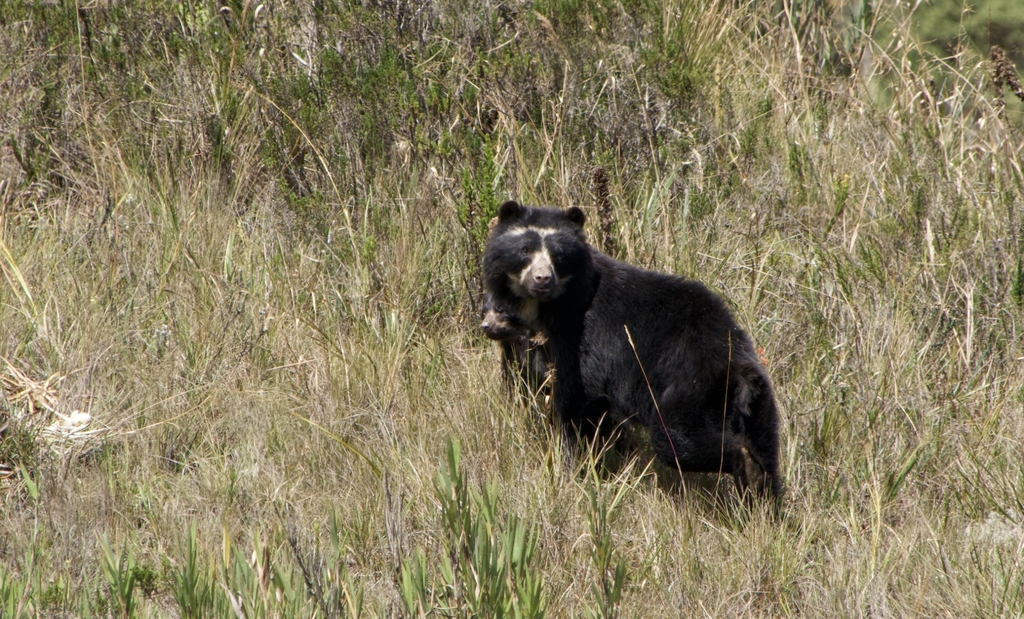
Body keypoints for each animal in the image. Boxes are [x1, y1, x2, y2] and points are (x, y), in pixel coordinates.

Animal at [482, 200, 783, 502]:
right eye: (525, 250)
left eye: (558, 254)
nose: (542, 279)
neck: (549, 307)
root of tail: (740, 366)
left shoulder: (582, 343)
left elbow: (573, 404)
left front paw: (569, 471)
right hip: (757, 408)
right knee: (766, 453)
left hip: (690, 391)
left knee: (680, 441)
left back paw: (743, 468)